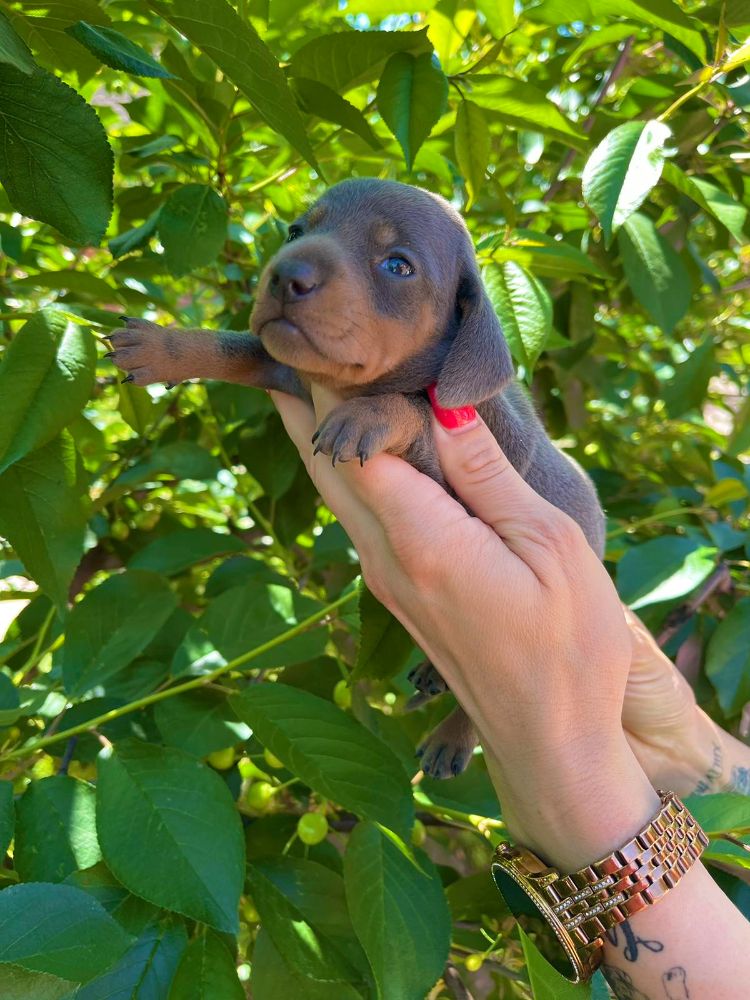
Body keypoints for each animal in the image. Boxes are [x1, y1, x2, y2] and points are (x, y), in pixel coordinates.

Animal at [110, 180, 604, 780]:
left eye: (397, 265)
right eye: (296, 230)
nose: (285, 274)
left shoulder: (458, 460)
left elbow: (414, 408)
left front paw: (369, 414)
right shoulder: (287, 365)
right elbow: (233, 346)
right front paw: (163, 347)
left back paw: (451, 738)